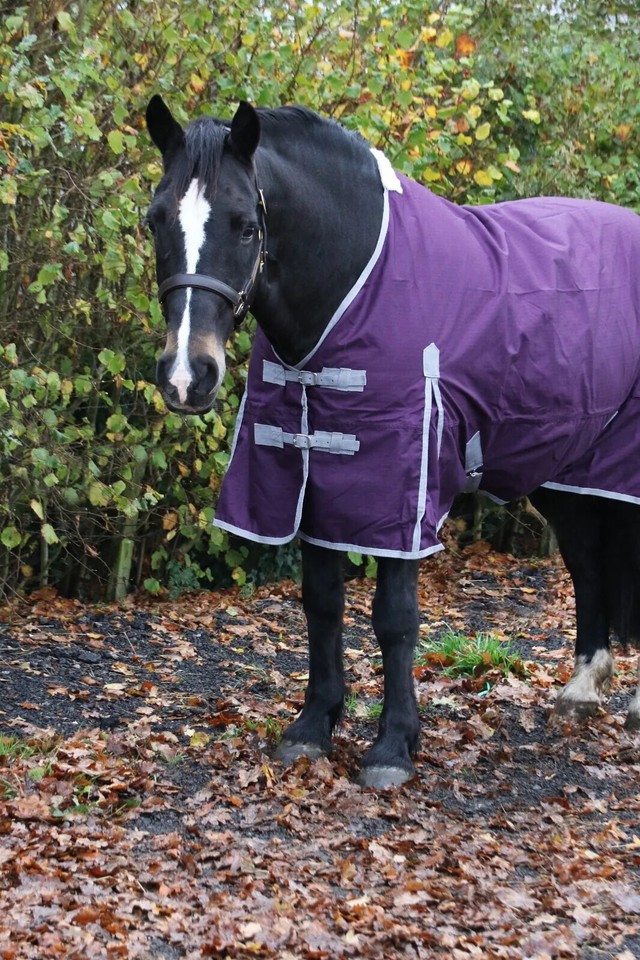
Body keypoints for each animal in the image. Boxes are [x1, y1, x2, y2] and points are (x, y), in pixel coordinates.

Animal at [145, 95, 640, 789]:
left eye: (245, 226)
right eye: (155, 220)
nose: (187, 375)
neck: (354, 285)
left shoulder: (402, 487)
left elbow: (395, 618)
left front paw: (393, 746)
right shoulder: (314, 477)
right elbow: (322, 603)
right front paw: (313, 726)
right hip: (566, 472)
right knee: (588, 562)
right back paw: (580, 689)